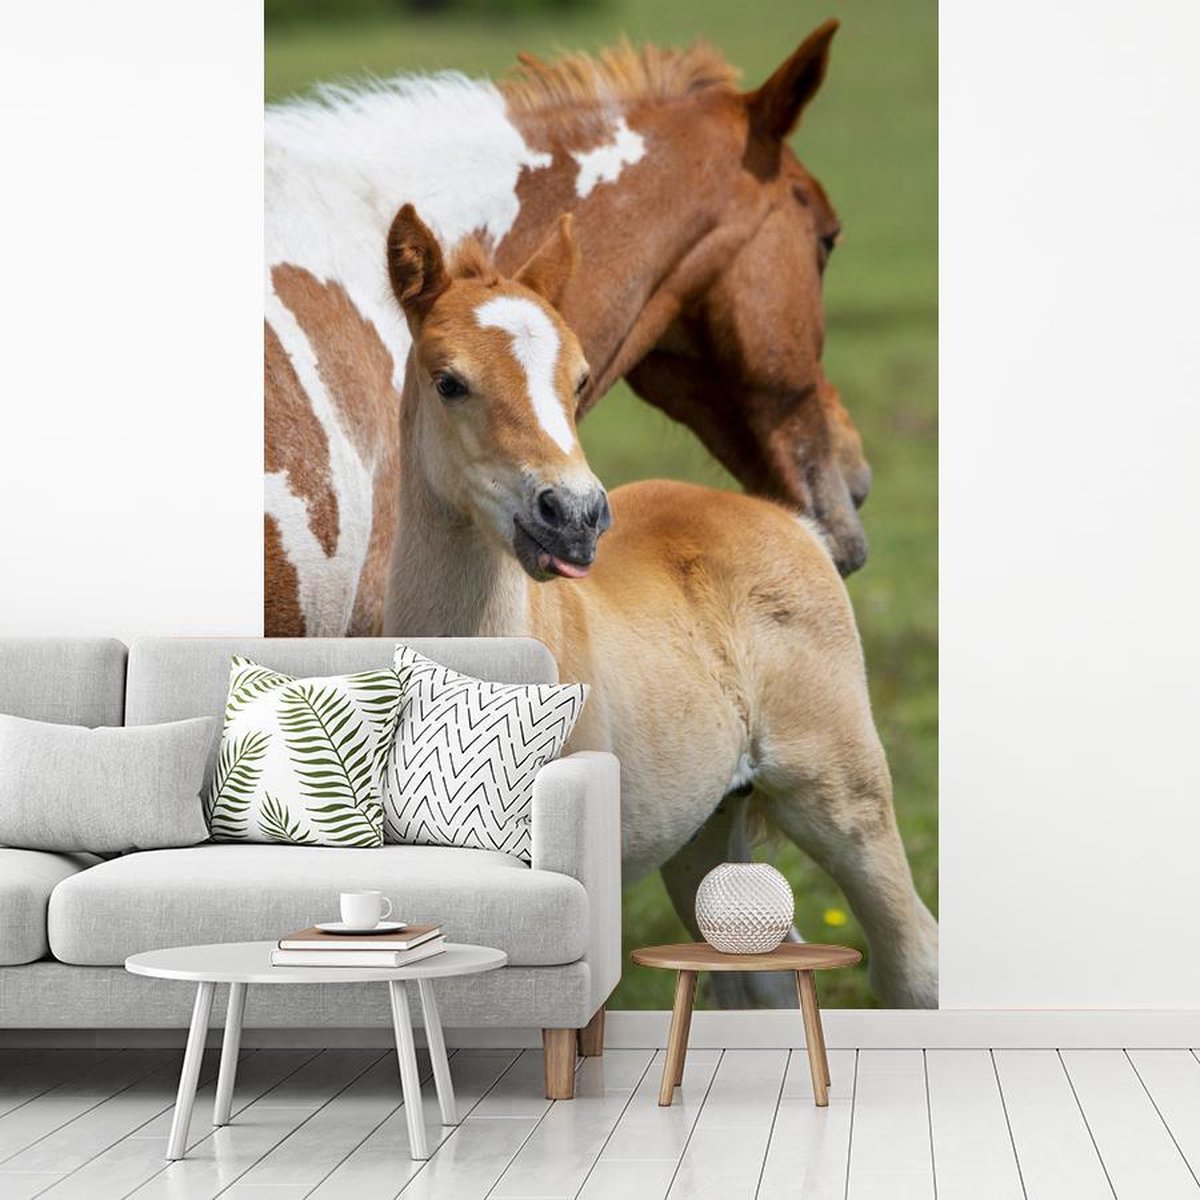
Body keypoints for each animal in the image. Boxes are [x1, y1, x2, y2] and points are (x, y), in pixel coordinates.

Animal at [379, 204, 939, 1012]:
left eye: (581, 379)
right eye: (449, 382)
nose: (575, 516)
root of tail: (788, 520)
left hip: (842, 794)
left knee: (913, 961)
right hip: (702, 825)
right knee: (761, 977)